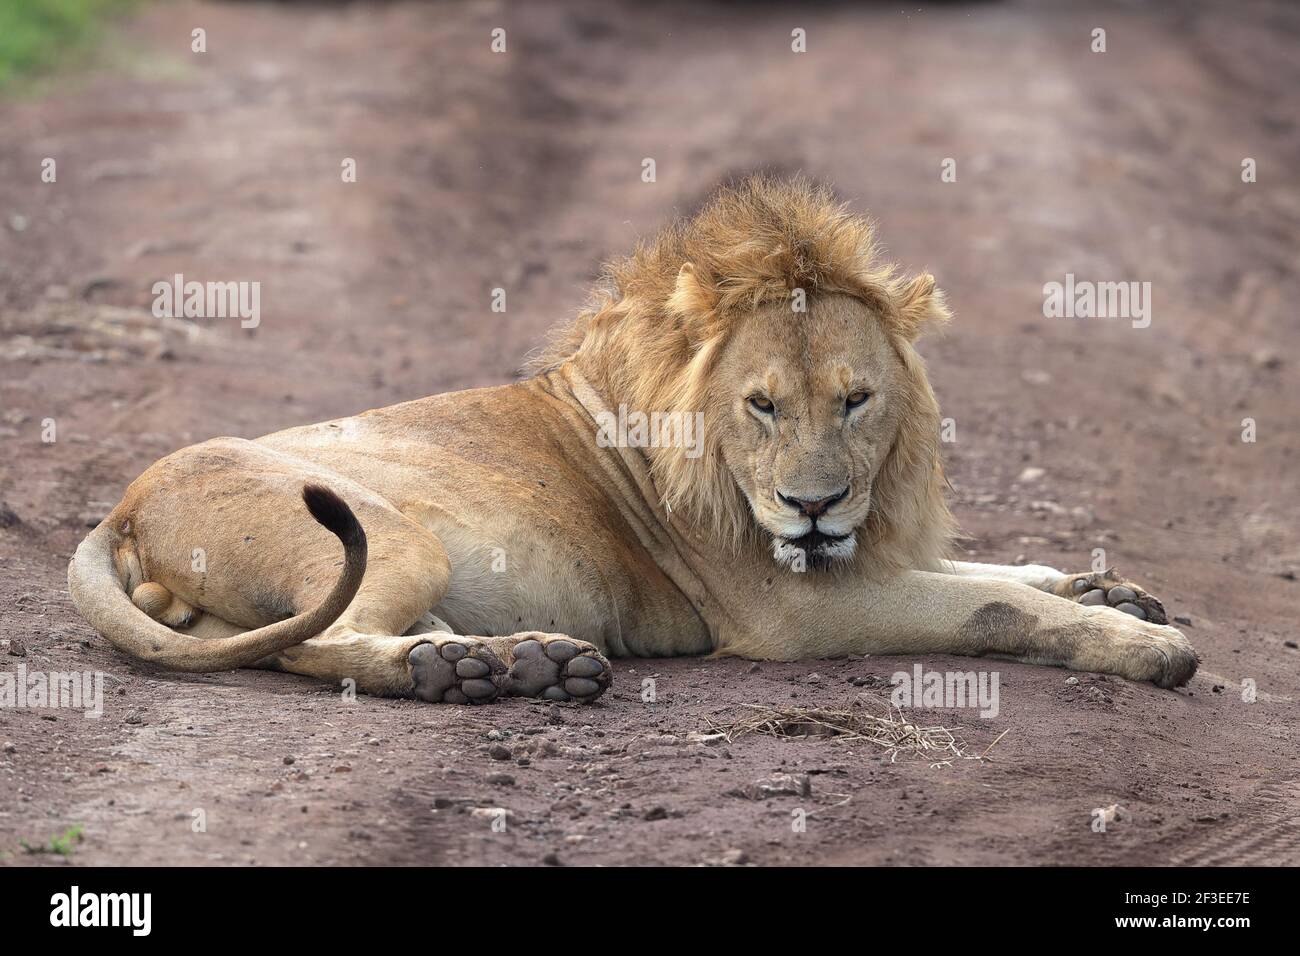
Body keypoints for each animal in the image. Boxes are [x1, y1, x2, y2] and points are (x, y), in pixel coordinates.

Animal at [68, 176, 1198, 704]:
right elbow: (991, 603)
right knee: (316, 644)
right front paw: (1147, 645)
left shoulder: (866, 551)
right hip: (387, 534)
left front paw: (1110, 588)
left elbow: (996, 568)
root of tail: (122, 507)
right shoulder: (793, 609)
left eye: (855, 400)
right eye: (761, 405)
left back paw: (514, 662)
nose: (813, 508)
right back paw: (471, 674)